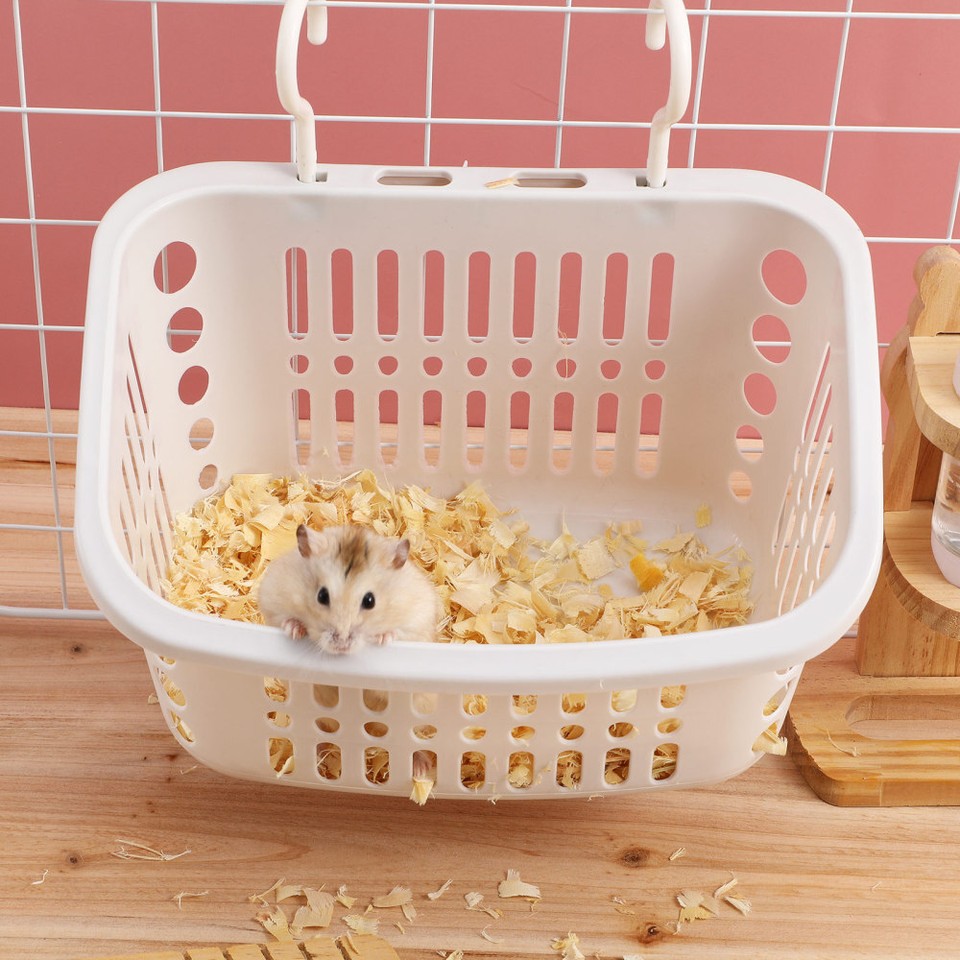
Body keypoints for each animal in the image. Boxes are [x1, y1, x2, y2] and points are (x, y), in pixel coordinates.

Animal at [257, 523, 441, 655]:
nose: (342, 646)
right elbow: (284, 618)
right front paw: (295, 630)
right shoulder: (272, 600)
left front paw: (383, 638)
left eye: (370, 601)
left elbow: (399, 631)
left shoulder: (417, 620)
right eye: (321, 596)